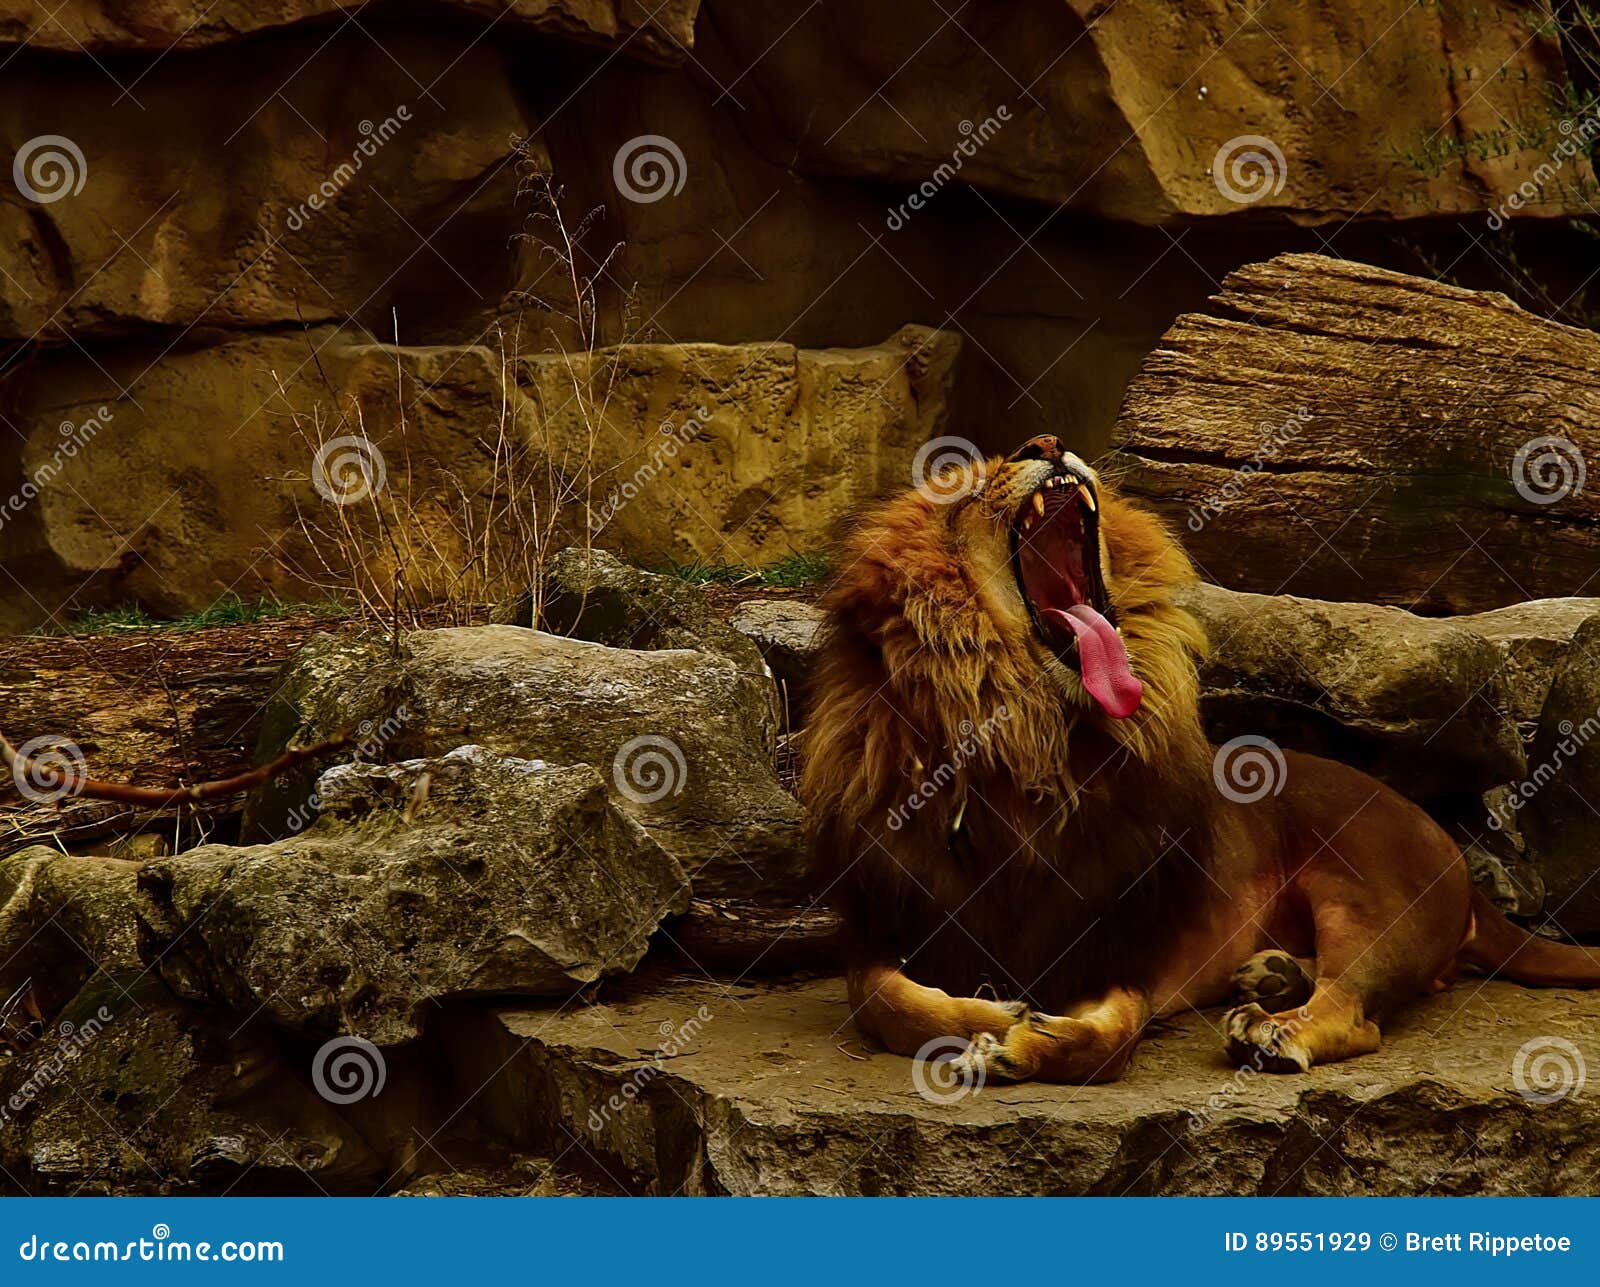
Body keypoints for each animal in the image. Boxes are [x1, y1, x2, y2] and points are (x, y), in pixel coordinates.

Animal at [800, 434, 1600, 1083]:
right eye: (977, 478)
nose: (1047, 443)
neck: (1030, 740)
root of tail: (1452, 850)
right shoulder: (885, 928)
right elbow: (888, 1001)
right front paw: (995, 1016)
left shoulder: (1118, 951)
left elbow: (1108, 1041)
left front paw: (1023, 1041)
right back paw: (1270, 976)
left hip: (1376, 897)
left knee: (1354, 1010)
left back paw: (1271, 1029)